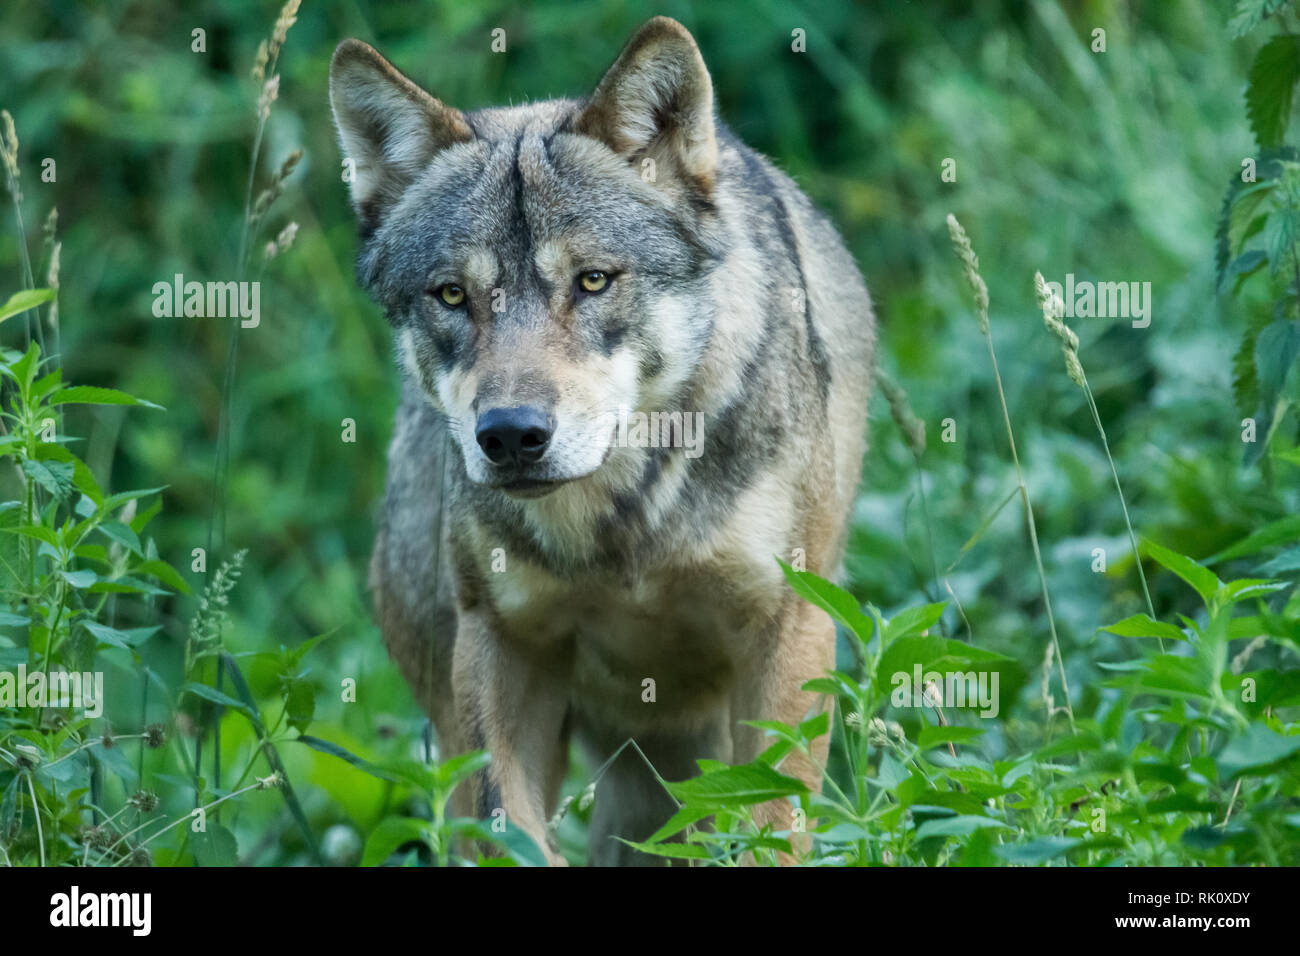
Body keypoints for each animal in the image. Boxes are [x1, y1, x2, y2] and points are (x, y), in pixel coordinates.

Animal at [329, 16, 875, 866]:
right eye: (451, 295)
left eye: (592, 281)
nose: (511, 435)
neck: (623, 528)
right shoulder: (501, 643)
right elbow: (512, 831)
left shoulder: (790, 629)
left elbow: (769, 824)